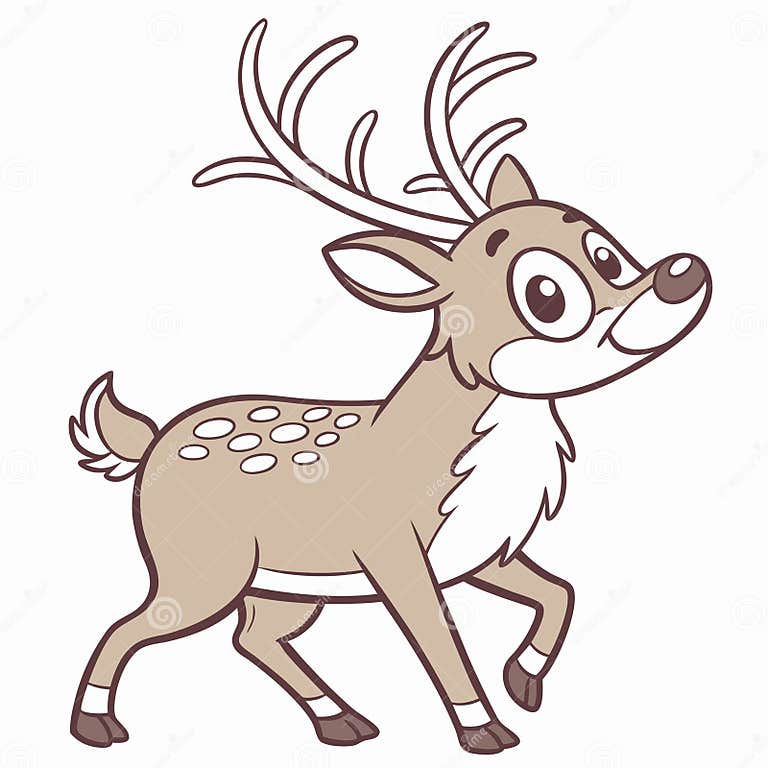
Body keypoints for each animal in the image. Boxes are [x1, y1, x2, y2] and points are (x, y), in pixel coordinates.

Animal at [69, 19, 711, 754]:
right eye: (545, 294)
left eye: (605, 250)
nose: (683, 275)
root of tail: (148, 447)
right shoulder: (394, 552)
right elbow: (441, 644)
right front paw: (485, 732)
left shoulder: (479, 549)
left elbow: (562, 591)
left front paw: (524, 680)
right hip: (203, 568)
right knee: (131, 625)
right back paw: (95, 725)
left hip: (287, 585)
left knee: (252, 637)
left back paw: (342, 721)